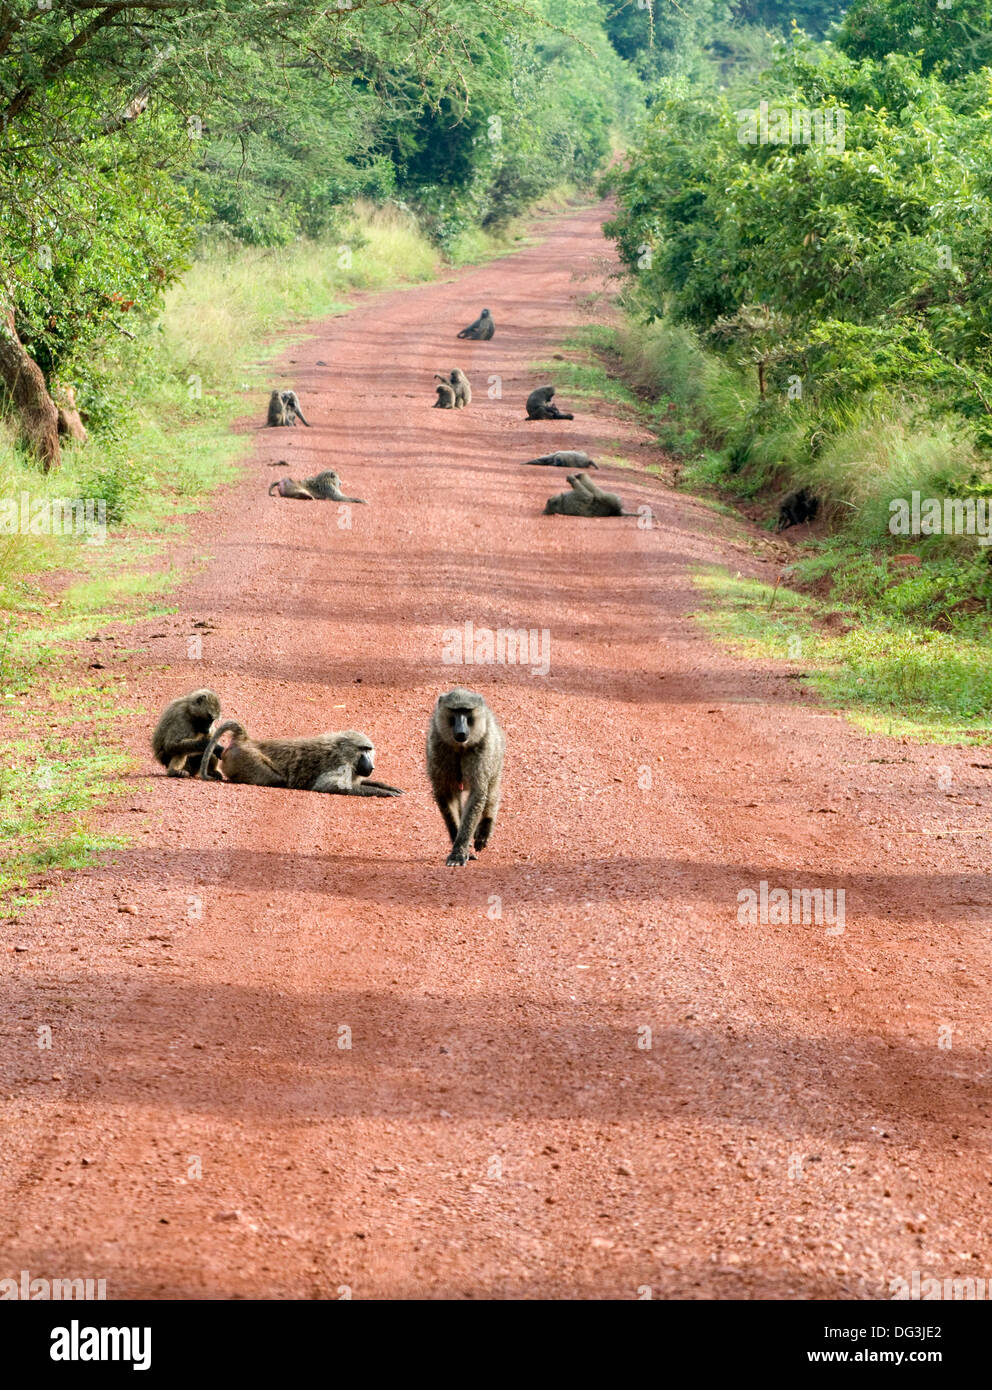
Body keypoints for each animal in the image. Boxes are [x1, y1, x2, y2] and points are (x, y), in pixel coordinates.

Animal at [198, 721, 403, 796]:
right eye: (363, 749)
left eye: (370, 750)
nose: (371, 766)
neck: (343, 750)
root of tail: (245, 740)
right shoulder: (340, 764)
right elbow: (327, 786)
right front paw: (381, 792)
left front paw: (386, 787)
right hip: (245, 759)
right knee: (277, 779)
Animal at [426, 688, 505, 867]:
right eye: (455, 711)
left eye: (466, 711)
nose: (461, 732)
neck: (460, 748)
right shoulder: (438, 747)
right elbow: (445, 794)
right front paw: (459, 844)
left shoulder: (484, 748)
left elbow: (478, 793)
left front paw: (459, 851)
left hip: (496, 755)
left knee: (492, 790)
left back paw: (485, 826)